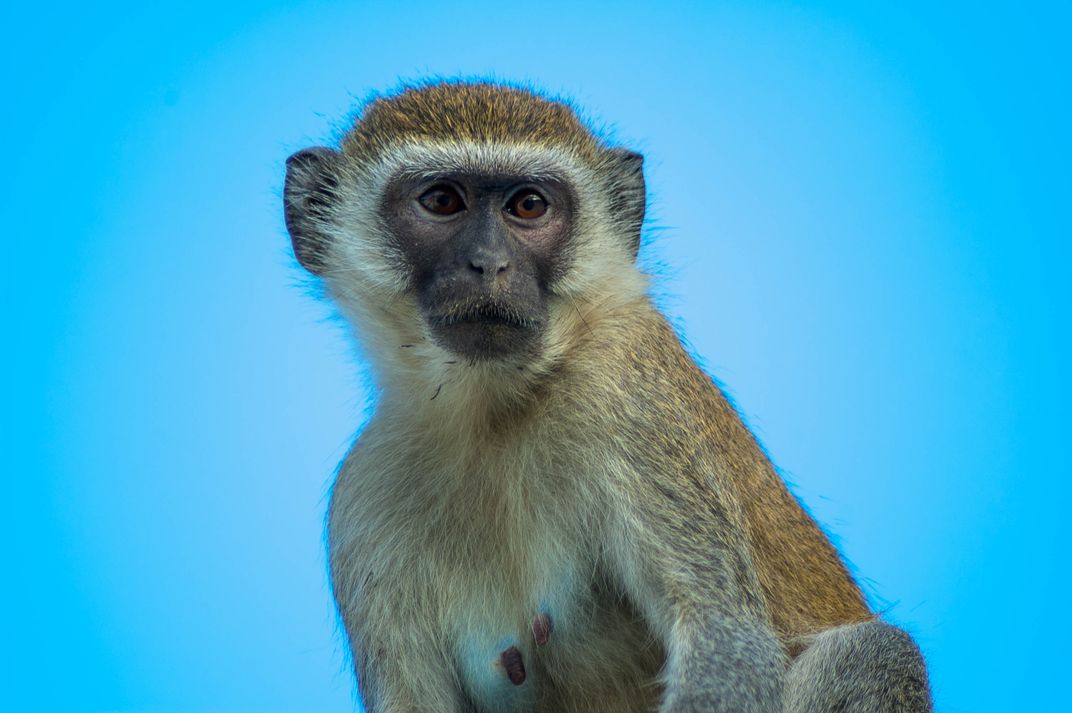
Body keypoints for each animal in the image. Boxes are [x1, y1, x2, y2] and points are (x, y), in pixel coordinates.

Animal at [283, 81, 932, 713]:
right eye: (442, 201)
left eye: (528, 206)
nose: (488, 264)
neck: (492, 411)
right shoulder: (362, 500)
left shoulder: (629, 397)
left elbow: (727, 642)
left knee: (877, 652)